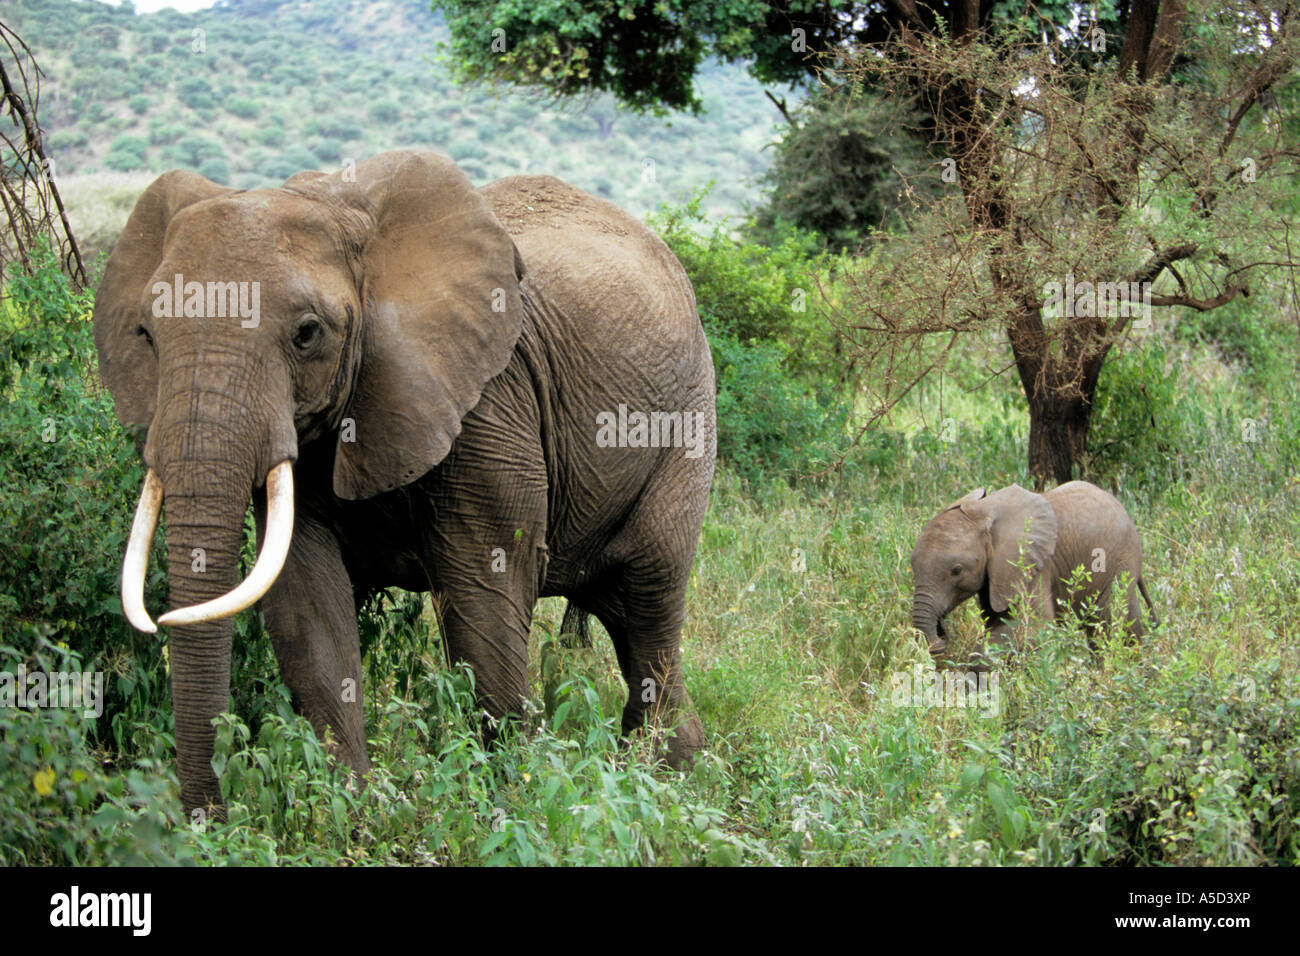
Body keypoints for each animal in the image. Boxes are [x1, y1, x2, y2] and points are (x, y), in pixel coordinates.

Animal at [93, 150, 716, 815]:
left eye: (307, 333)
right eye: (146, 335)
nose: (205, 818)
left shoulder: (489, 396)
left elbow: (484, 589)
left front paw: (514, 795)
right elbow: (306, 602)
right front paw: (350, 809)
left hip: (687, 424)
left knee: (649, 600)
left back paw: (660, 779)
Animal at [910, 481, 1156, 659]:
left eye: (956, 571)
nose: (939, 642)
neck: (983, 511)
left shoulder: (1032, 566)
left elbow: (1034, 629)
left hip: (1122, 559)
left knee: (1110, 620)